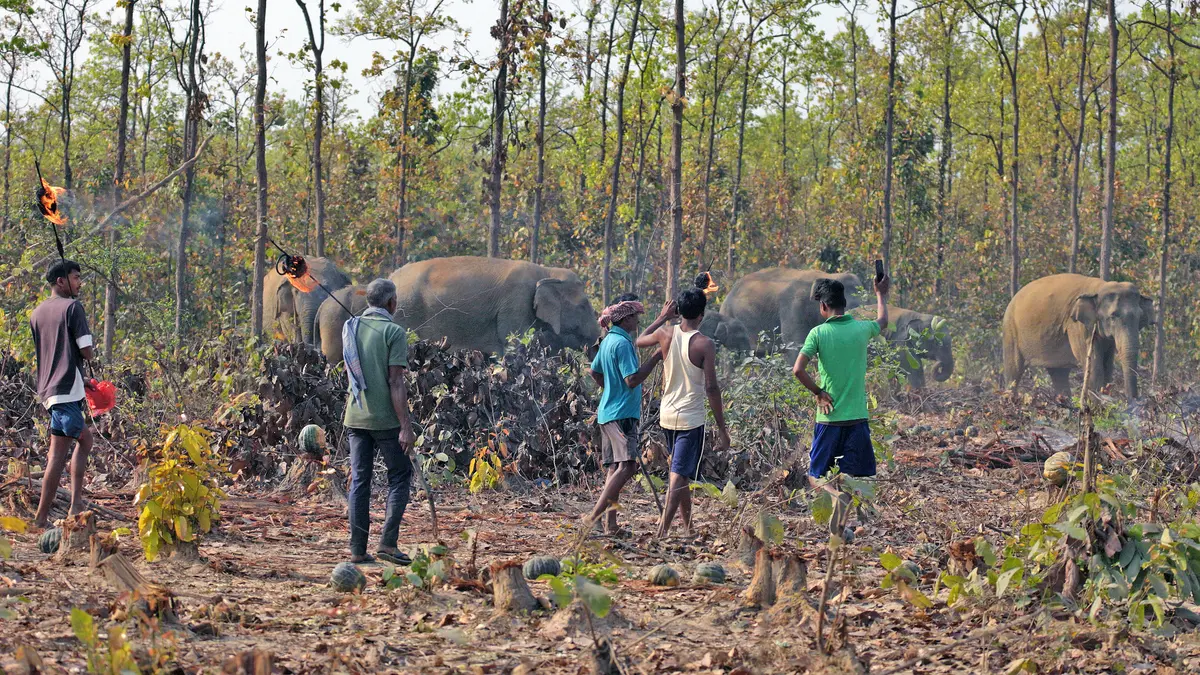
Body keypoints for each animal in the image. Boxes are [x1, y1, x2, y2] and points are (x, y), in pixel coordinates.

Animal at [388, 256, 601, 353]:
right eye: (583, 306)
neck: (546, 271)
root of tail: (390, 276)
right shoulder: (516, 303)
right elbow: (514, 345)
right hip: (405, 312)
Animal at [1003, 273, 1154, 401]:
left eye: (1140, 316)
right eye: (1113, 316)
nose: (1132, 400)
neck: (1099, 288)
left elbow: (1107, 364)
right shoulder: (1077, 326)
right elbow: (1094, 365)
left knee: (1059, 373)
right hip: (1011, 330)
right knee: (1014, 371)